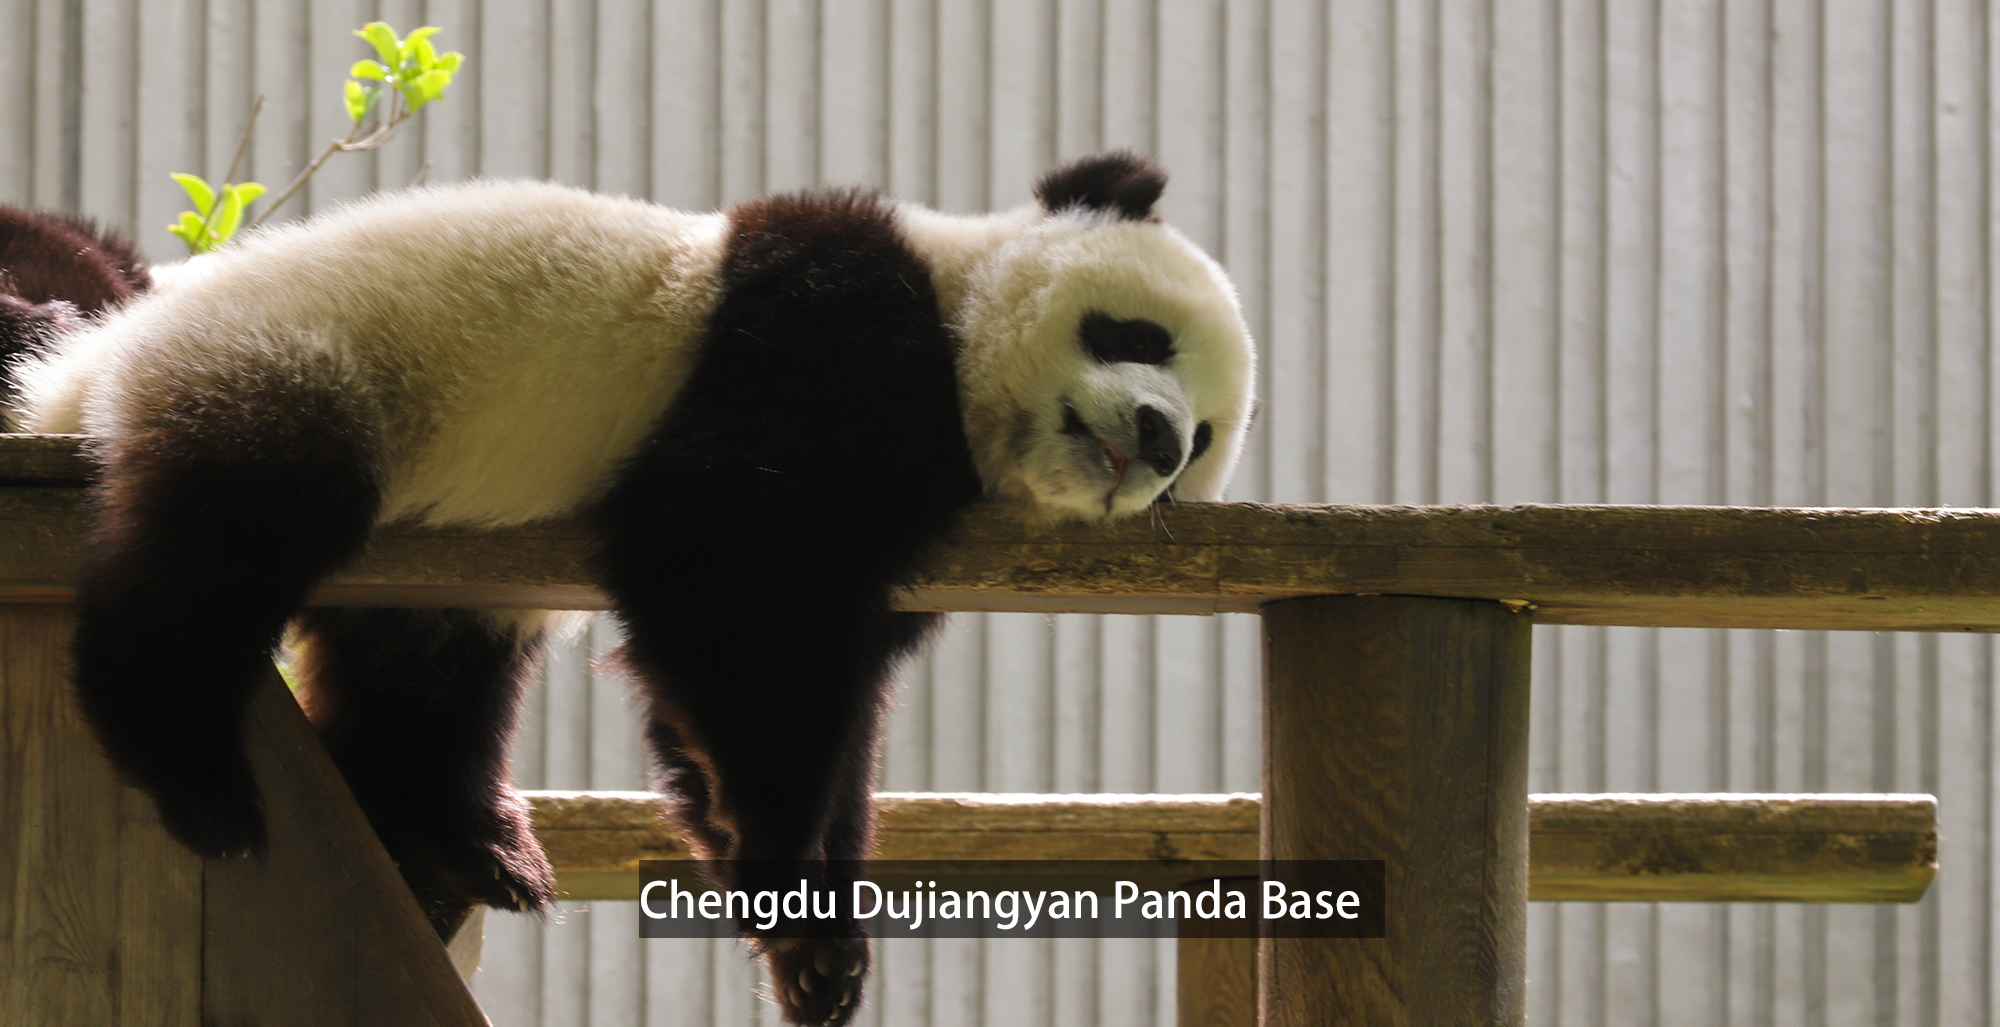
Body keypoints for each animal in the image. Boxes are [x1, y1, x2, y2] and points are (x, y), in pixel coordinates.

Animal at [7, 151, 1254, 1026]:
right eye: (1135, 333)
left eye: (1200, 446)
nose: (1156, 439)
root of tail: (83, 374)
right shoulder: (820, 328)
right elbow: (729, 586)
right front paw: (782, 880)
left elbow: (817, 685)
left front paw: (819, 949)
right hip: (292, 364)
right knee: (226, 539)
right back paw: (196, 775)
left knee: (423, 666)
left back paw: (467, 839)